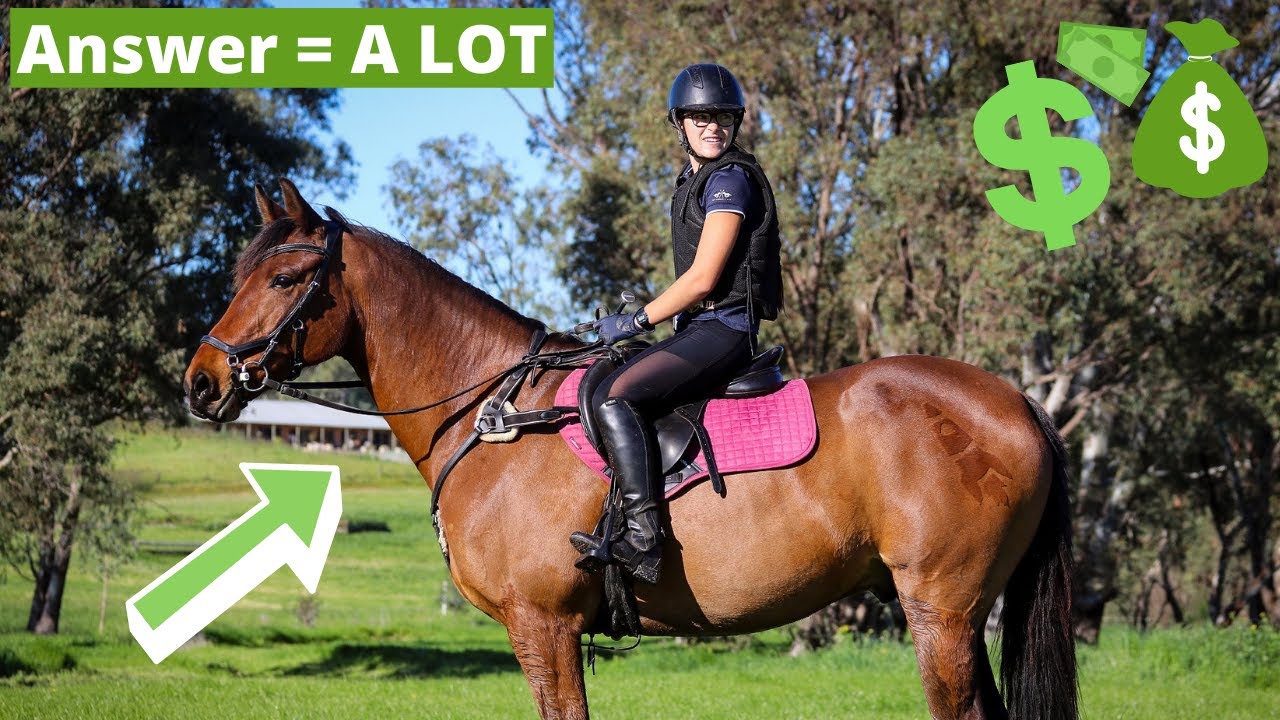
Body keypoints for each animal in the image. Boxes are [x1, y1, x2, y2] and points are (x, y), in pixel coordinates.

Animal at [185, 179, 1076, 720]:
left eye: (280, 281)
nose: (200, 381)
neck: (494, 414)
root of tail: (1017, 401)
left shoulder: (542, 625)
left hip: (942, 612)